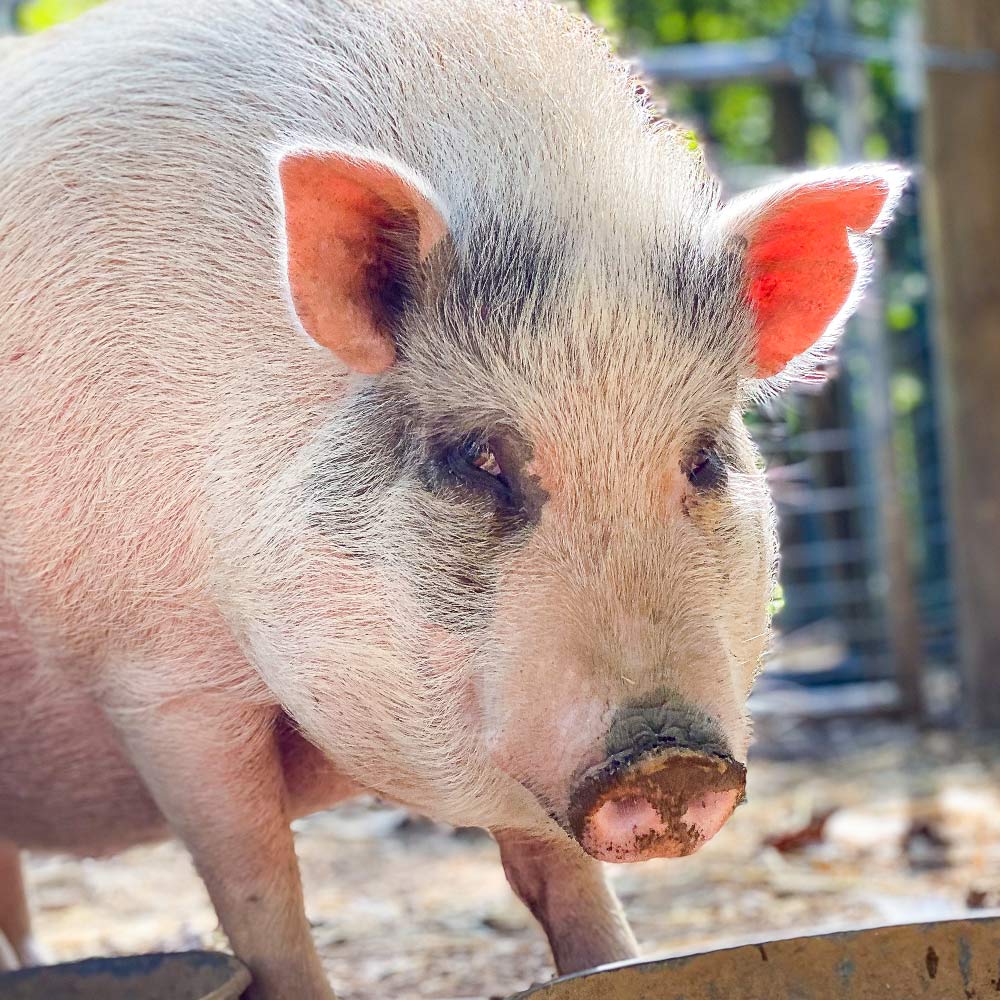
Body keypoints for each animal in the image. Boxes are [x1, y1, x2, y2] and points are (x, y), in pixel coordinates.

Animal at [0, 0, 905, 996]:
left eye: (702, 460)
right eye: (481, 458)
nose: (669, 758)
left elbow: (570, 892)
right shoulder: (158, 683)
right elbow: (261, 905)